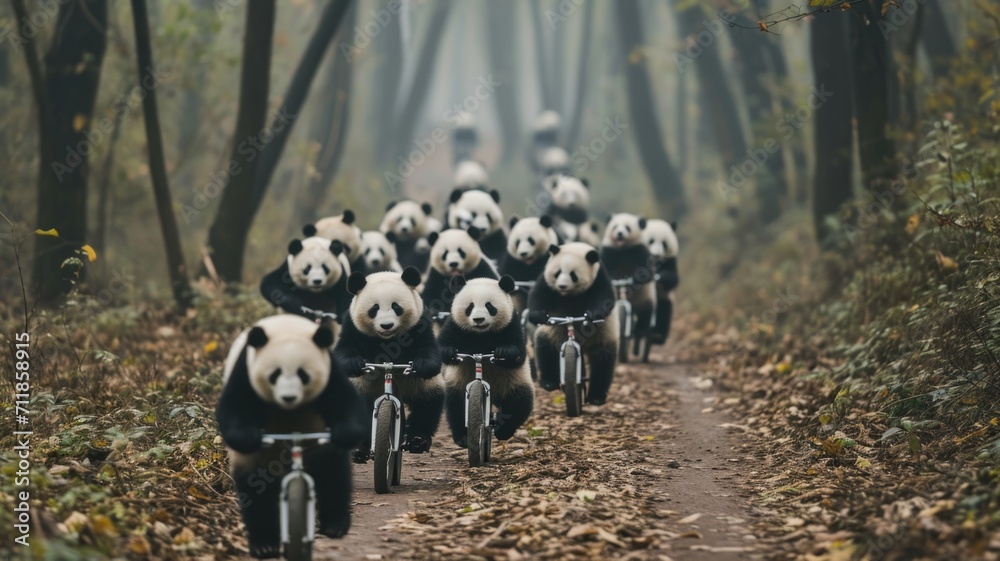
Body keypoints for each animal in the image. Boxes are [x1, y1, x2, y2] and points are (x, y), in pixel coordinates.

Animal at [216, 315, 366, 557]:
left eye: (303, 374)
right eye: (274, 374)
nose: (289, 397)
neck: (286, 328)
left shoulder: (330, 370)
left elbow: (346, 401)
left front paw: (345, 433)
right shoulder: (245, 372)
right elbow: (234, 406)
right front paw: (248, 437)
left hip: (317, 439)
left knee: (332, 472)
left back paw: (335, 525)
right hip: (258, 456)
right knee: (255, 486)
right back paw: (264, 545)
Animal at [333, 268, 444, 456]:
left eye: (396, 307)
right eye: (374, 308)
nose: (387, 325)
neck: (387, 339)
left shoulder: (420, 321)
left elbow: (429, 348)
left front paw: (425, 365)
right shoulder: (351, 324)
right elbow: (345, 348)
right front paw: (353, 363)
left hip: (417, 383)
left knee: (428, 403)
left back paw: (418, 440)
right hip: (363, 386)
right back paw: (361, 448)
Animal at [437, 275, 535, 446]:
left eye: (490, 306)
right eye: (470, 306)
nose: (479, 319)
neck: (481, 334)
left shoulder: (512, 324)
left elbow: (518, 355)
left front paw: (504, 351)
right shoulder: (455, 324)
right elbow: (443, 344)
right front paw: (448, 352)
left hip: (513, 381)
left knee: (519, 402)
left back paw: (503, 431)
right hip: (460, 381)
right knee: (456, 405)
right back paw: (462, 438)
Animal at [527, 243, 619, 405]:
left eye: (573, 275)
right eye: (557, 273)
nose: (562, 286)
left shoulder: (599, 277)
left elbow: (604, 297)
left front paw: (594, 314)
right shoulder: (546, 279)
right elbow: (539, 293)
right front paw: (537, 315)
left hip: (602, 335)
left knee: (603, 359)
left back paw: (596, 397)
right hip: (555, 330)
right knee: (546, 346)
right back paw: (548, 382)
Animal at [600, 213, 657, 345]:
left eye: (627, 227)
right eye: (615, 226)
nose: (620, 233)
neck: (623, 249)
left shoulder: (639, 249)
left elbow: (648, 272)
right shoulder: (609, 251)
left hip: (644, 296)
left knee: (645, 311)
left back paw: (641, 330)